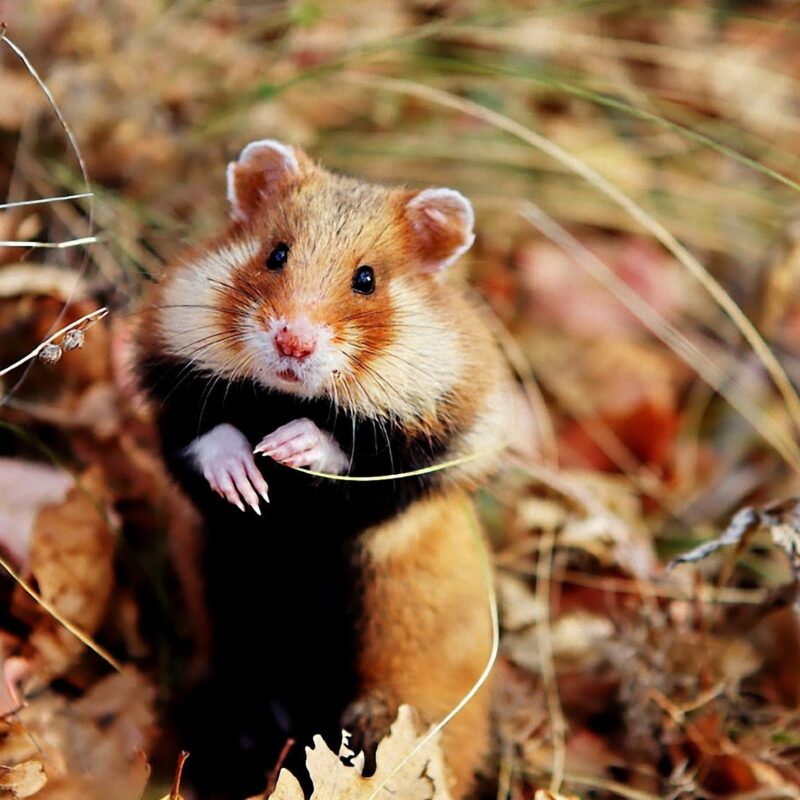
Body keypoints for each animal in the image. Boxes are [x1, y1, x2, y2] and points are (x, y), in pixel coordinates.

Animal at [134, 140, 511, 800]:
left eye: (367, 279)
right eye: (275, 253)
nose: (293, 342)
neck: (281, 398)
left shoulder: (428, 456)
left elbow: (359, 456)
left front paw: (291, 445)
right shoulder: (171, 403)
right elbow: (207, 439)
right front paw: (248, 482)